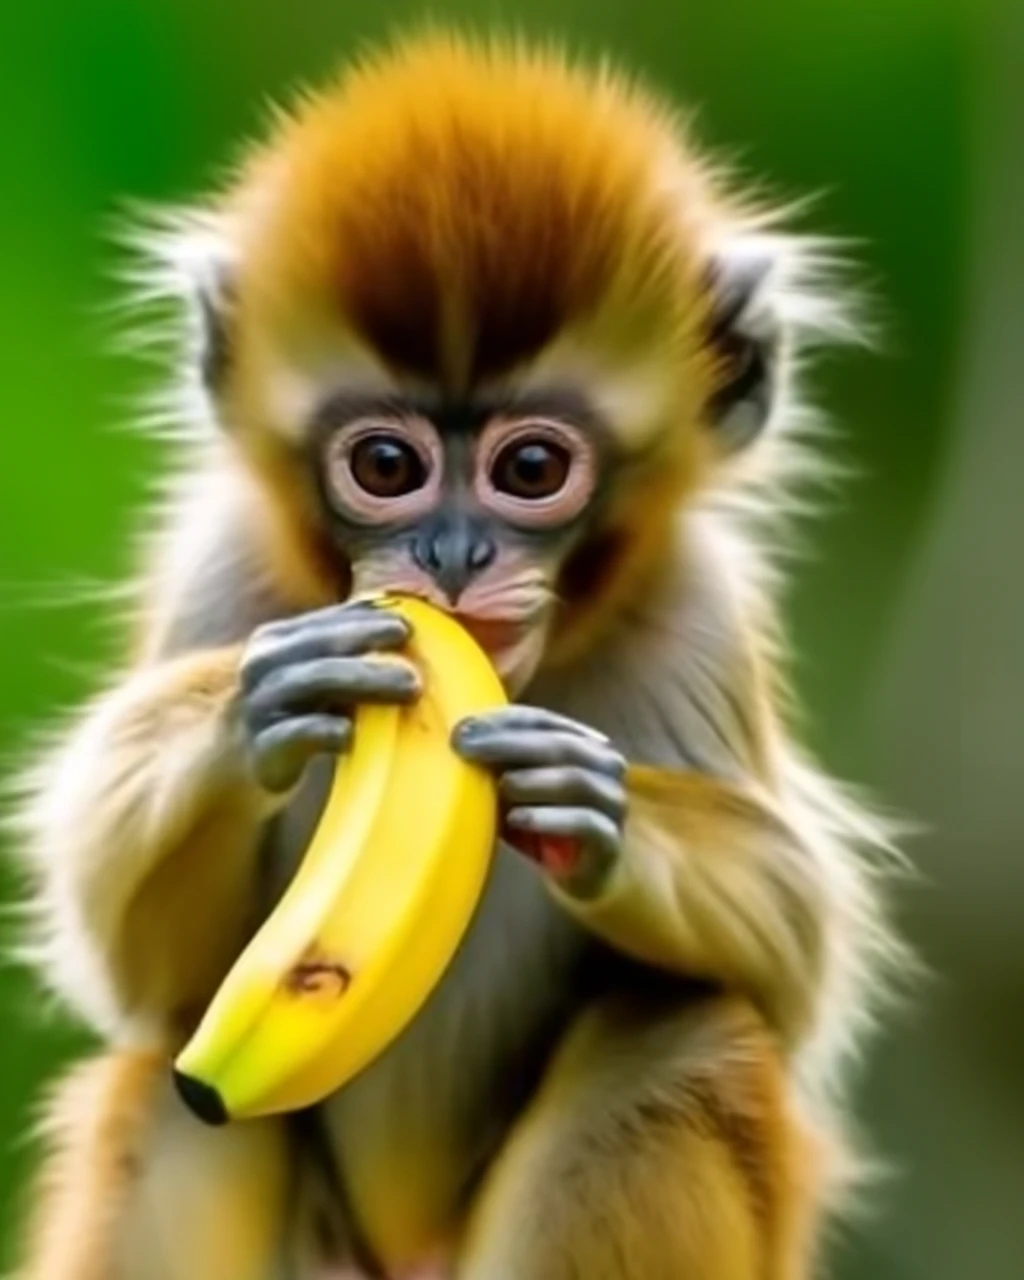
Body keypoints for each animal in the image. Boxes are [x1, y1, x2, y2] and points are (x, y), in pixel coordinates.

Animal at [5, 29, 900, 1280]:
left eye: (529, 469)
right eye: (387, 463)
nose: (455, 552)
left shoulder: (698, 614)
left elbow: (796, 965)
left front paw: (592, 807)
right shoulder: (217, 568)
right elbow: (156, 977)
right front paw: (256, 708)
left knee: (680, 1030)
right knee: (171, 1088)